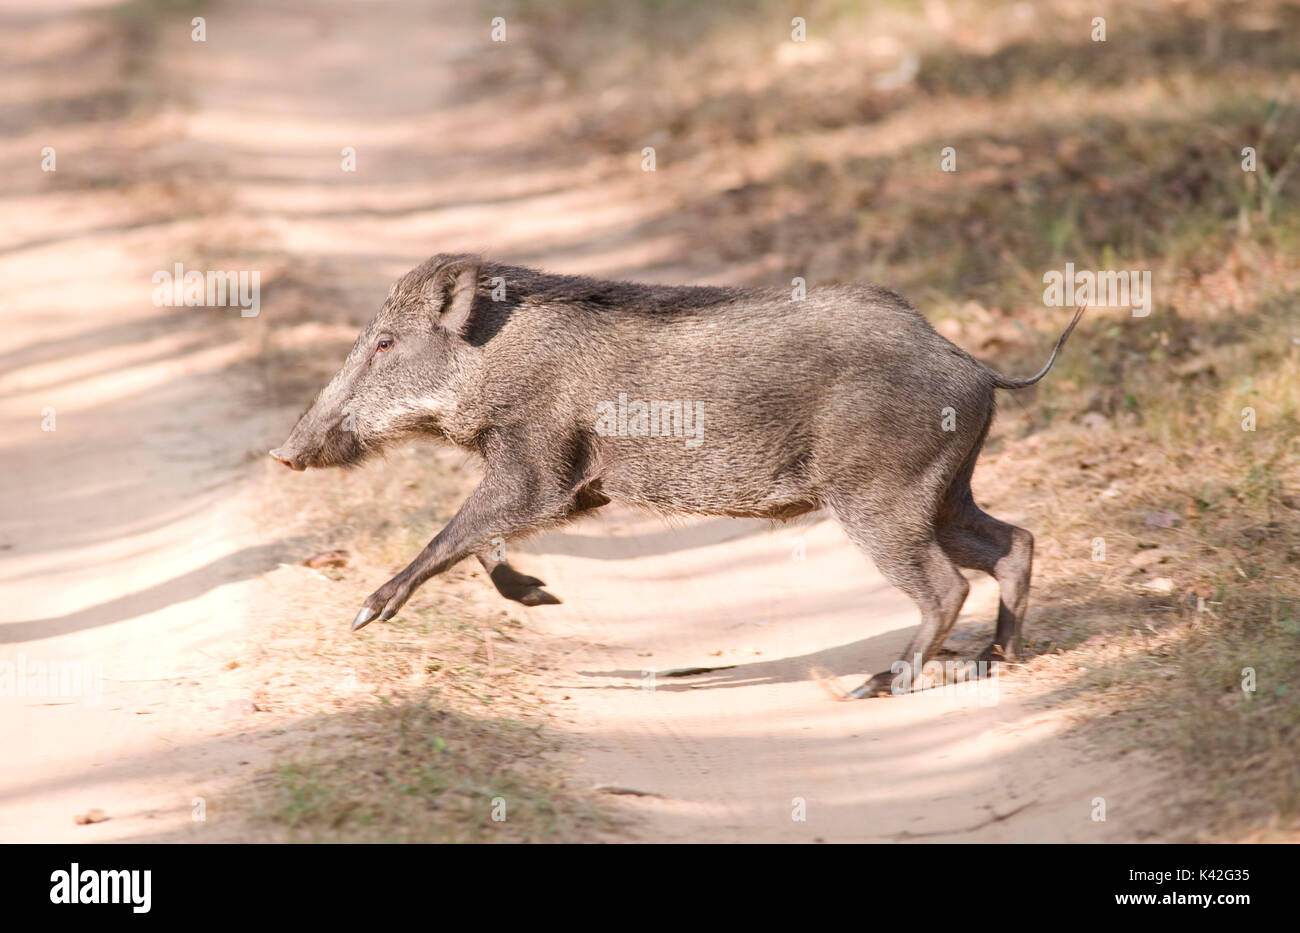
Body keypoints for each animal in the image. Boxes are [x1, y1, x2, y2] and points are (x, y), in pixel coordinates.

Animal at [270, 254, 1084, 698]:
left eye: (384, 342)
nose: (282, 453)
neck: (495, 360)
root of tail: (975, 366)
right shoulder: (579, 489)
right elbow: (479, 541)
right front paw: (543, 597)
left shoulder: (543, 469)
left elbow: (454, 533)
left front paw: (364, 614)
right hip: (943, 493)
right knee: (1015, 543)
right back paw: (992, 659)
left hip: (880, 498)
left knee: (946, 586)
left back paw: (878, 685)